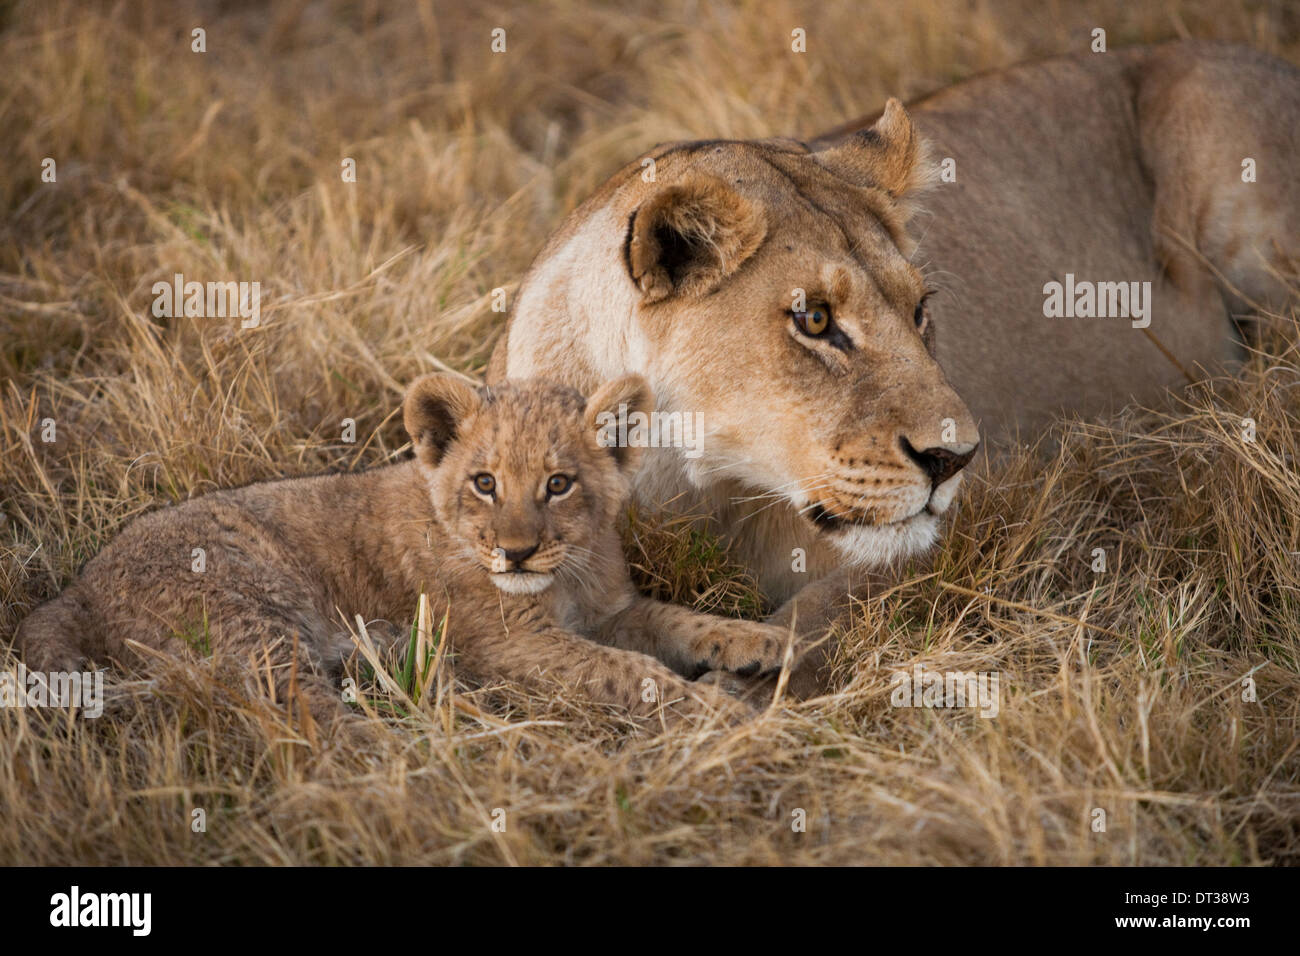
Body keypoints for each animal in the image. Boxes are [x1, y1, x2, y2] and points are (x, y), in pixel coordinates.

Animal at [14, 374, 789, 720]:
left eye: (559, 484)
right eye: (484, 483)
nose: (516, 553)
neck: (565, 576)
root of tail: (78, 587)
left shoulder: (611, 611)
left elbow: (673, 620)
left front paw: (758, 644)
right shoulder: (514, 645)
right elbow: (630, 671)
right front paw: (725, 714)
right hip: (255, 613)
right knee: (306, 716)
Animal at [489, 41, 1300, 680]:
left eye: (919, 311)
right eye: (815, 319)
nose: (955, 458)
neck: (686, 484)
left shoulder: (930, 547)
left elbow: (812, 621)